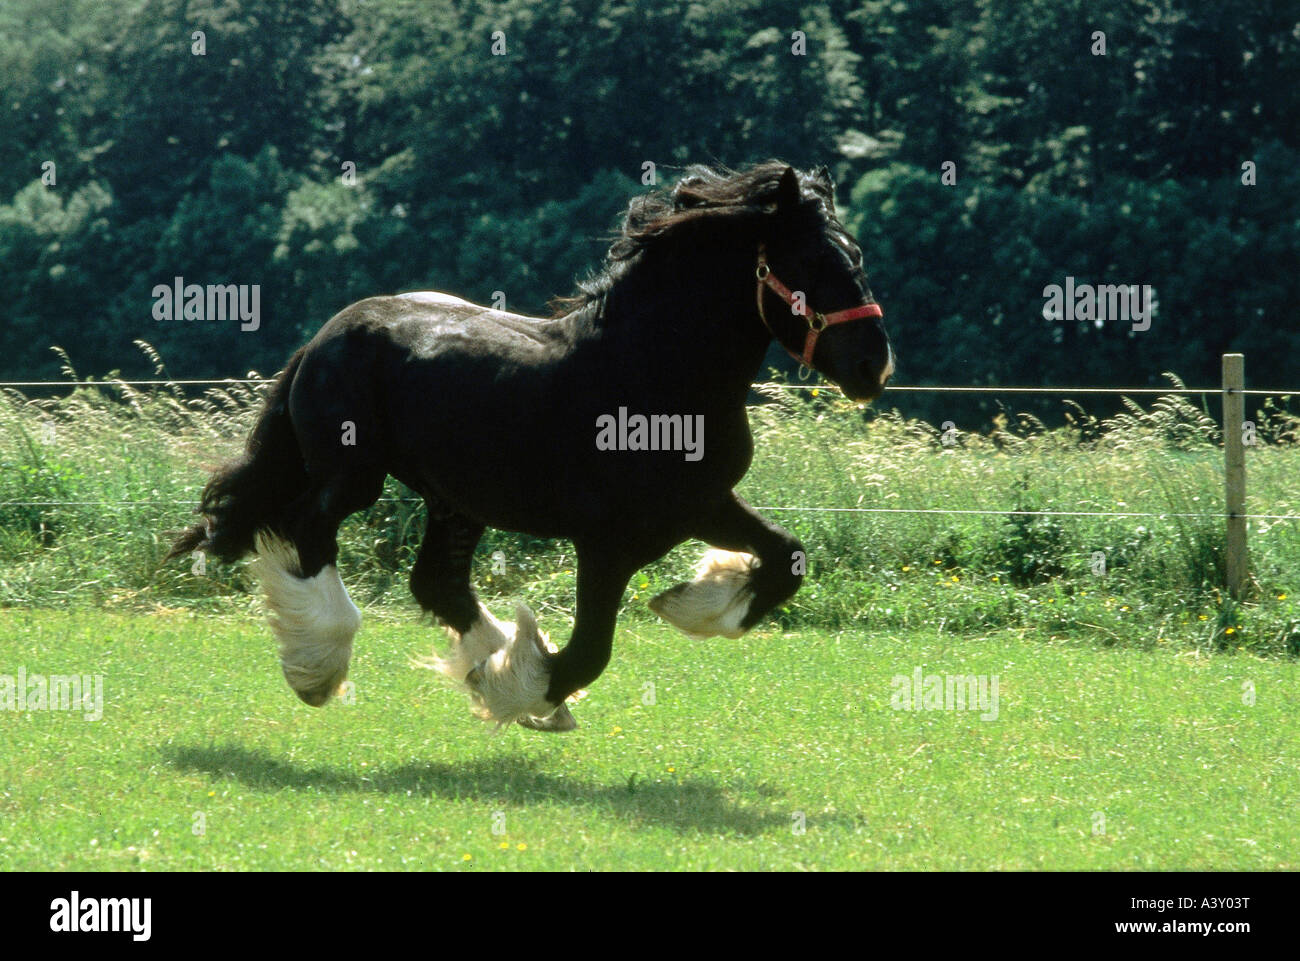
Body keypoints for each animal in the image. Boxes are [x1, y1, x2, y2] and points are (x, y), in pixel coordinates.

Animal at [166, 161, 893, 731]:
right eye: (813, 264)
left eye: (857, 256)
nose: (873, 367)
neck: (653, 370)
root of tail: (327, 333)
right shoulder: (608, 542)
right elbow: (591, 651)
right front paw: (519, 693)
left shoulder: (702, 504)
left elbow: (789, 557)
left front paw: (692, 602)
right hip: (352, 475)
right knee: (305, 531)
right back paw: (319, 667)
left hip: (453, 499)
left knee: (434, 580)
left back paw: (488, 655)